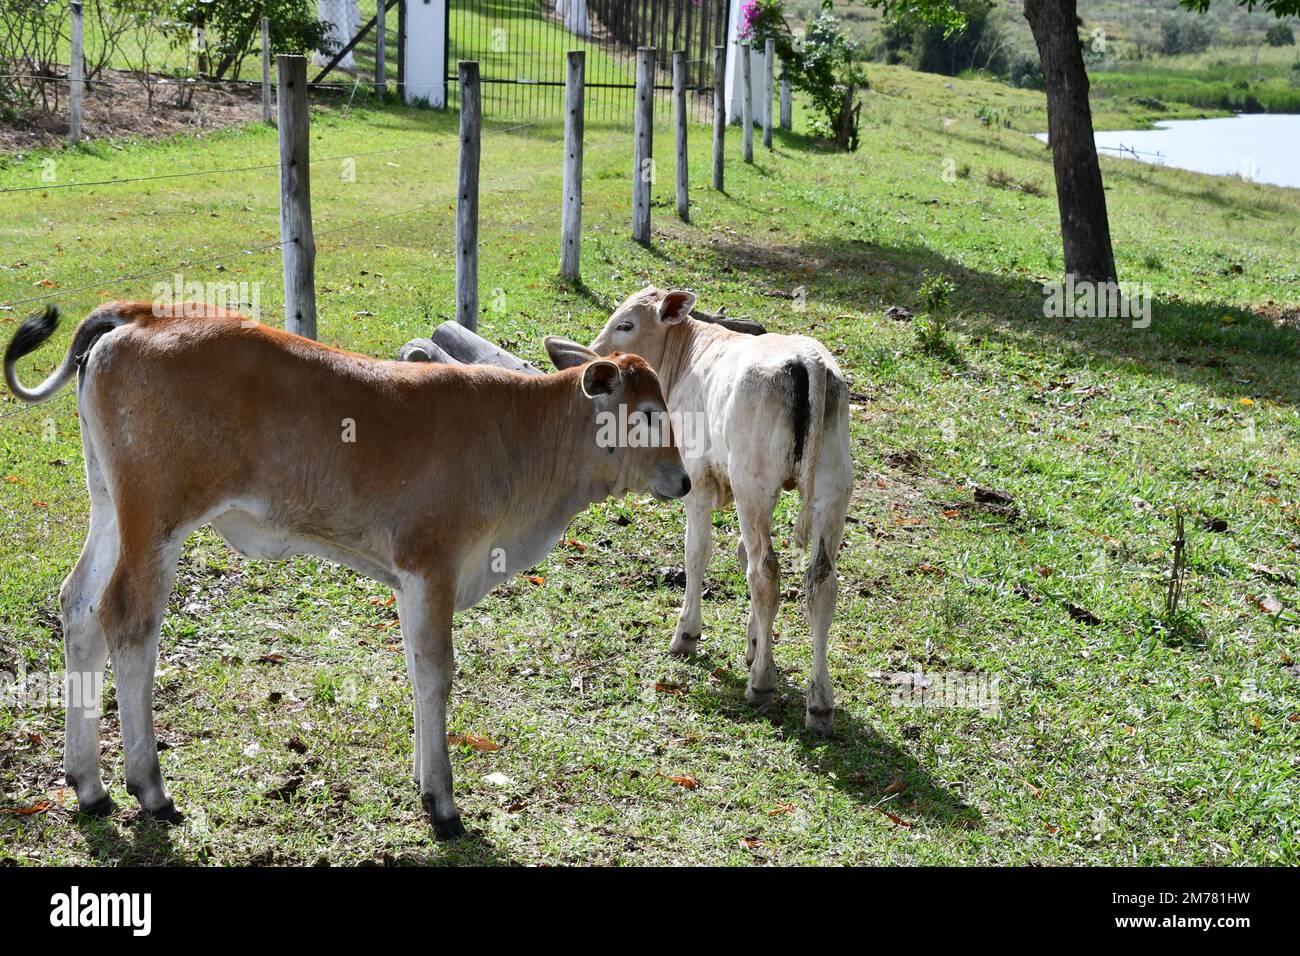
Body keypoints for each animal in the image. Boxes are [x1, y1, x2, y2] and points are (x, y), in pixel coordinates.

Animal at [3, 302, 690, 839]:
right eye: (648, 415)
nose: (683, 479)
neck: (520, 439)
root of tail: (144, 314)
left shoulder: (414, 581)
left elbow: (416, 669)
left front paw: (423, 781)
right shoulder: (431, 564)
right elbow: (437, 672)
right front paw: (444, 803)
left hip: (111, 508)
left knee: (78, 607)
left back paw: (88, 786)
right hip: (157, 520)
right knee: (127, 620)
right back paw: (148, 786)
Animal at [559, 286, 853, 736]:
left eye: (625, 324)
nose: (595, 357)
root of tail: (810, 361)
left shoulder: (697, 480)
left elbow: (697, 554)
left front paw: (688, 635)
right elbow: (740, 554)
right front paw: (755, 644)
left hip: (755, 485)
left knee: (765, 571)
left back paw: (761, 685)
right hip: (831, 489)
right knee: (819, 581)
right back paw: (819, 704)